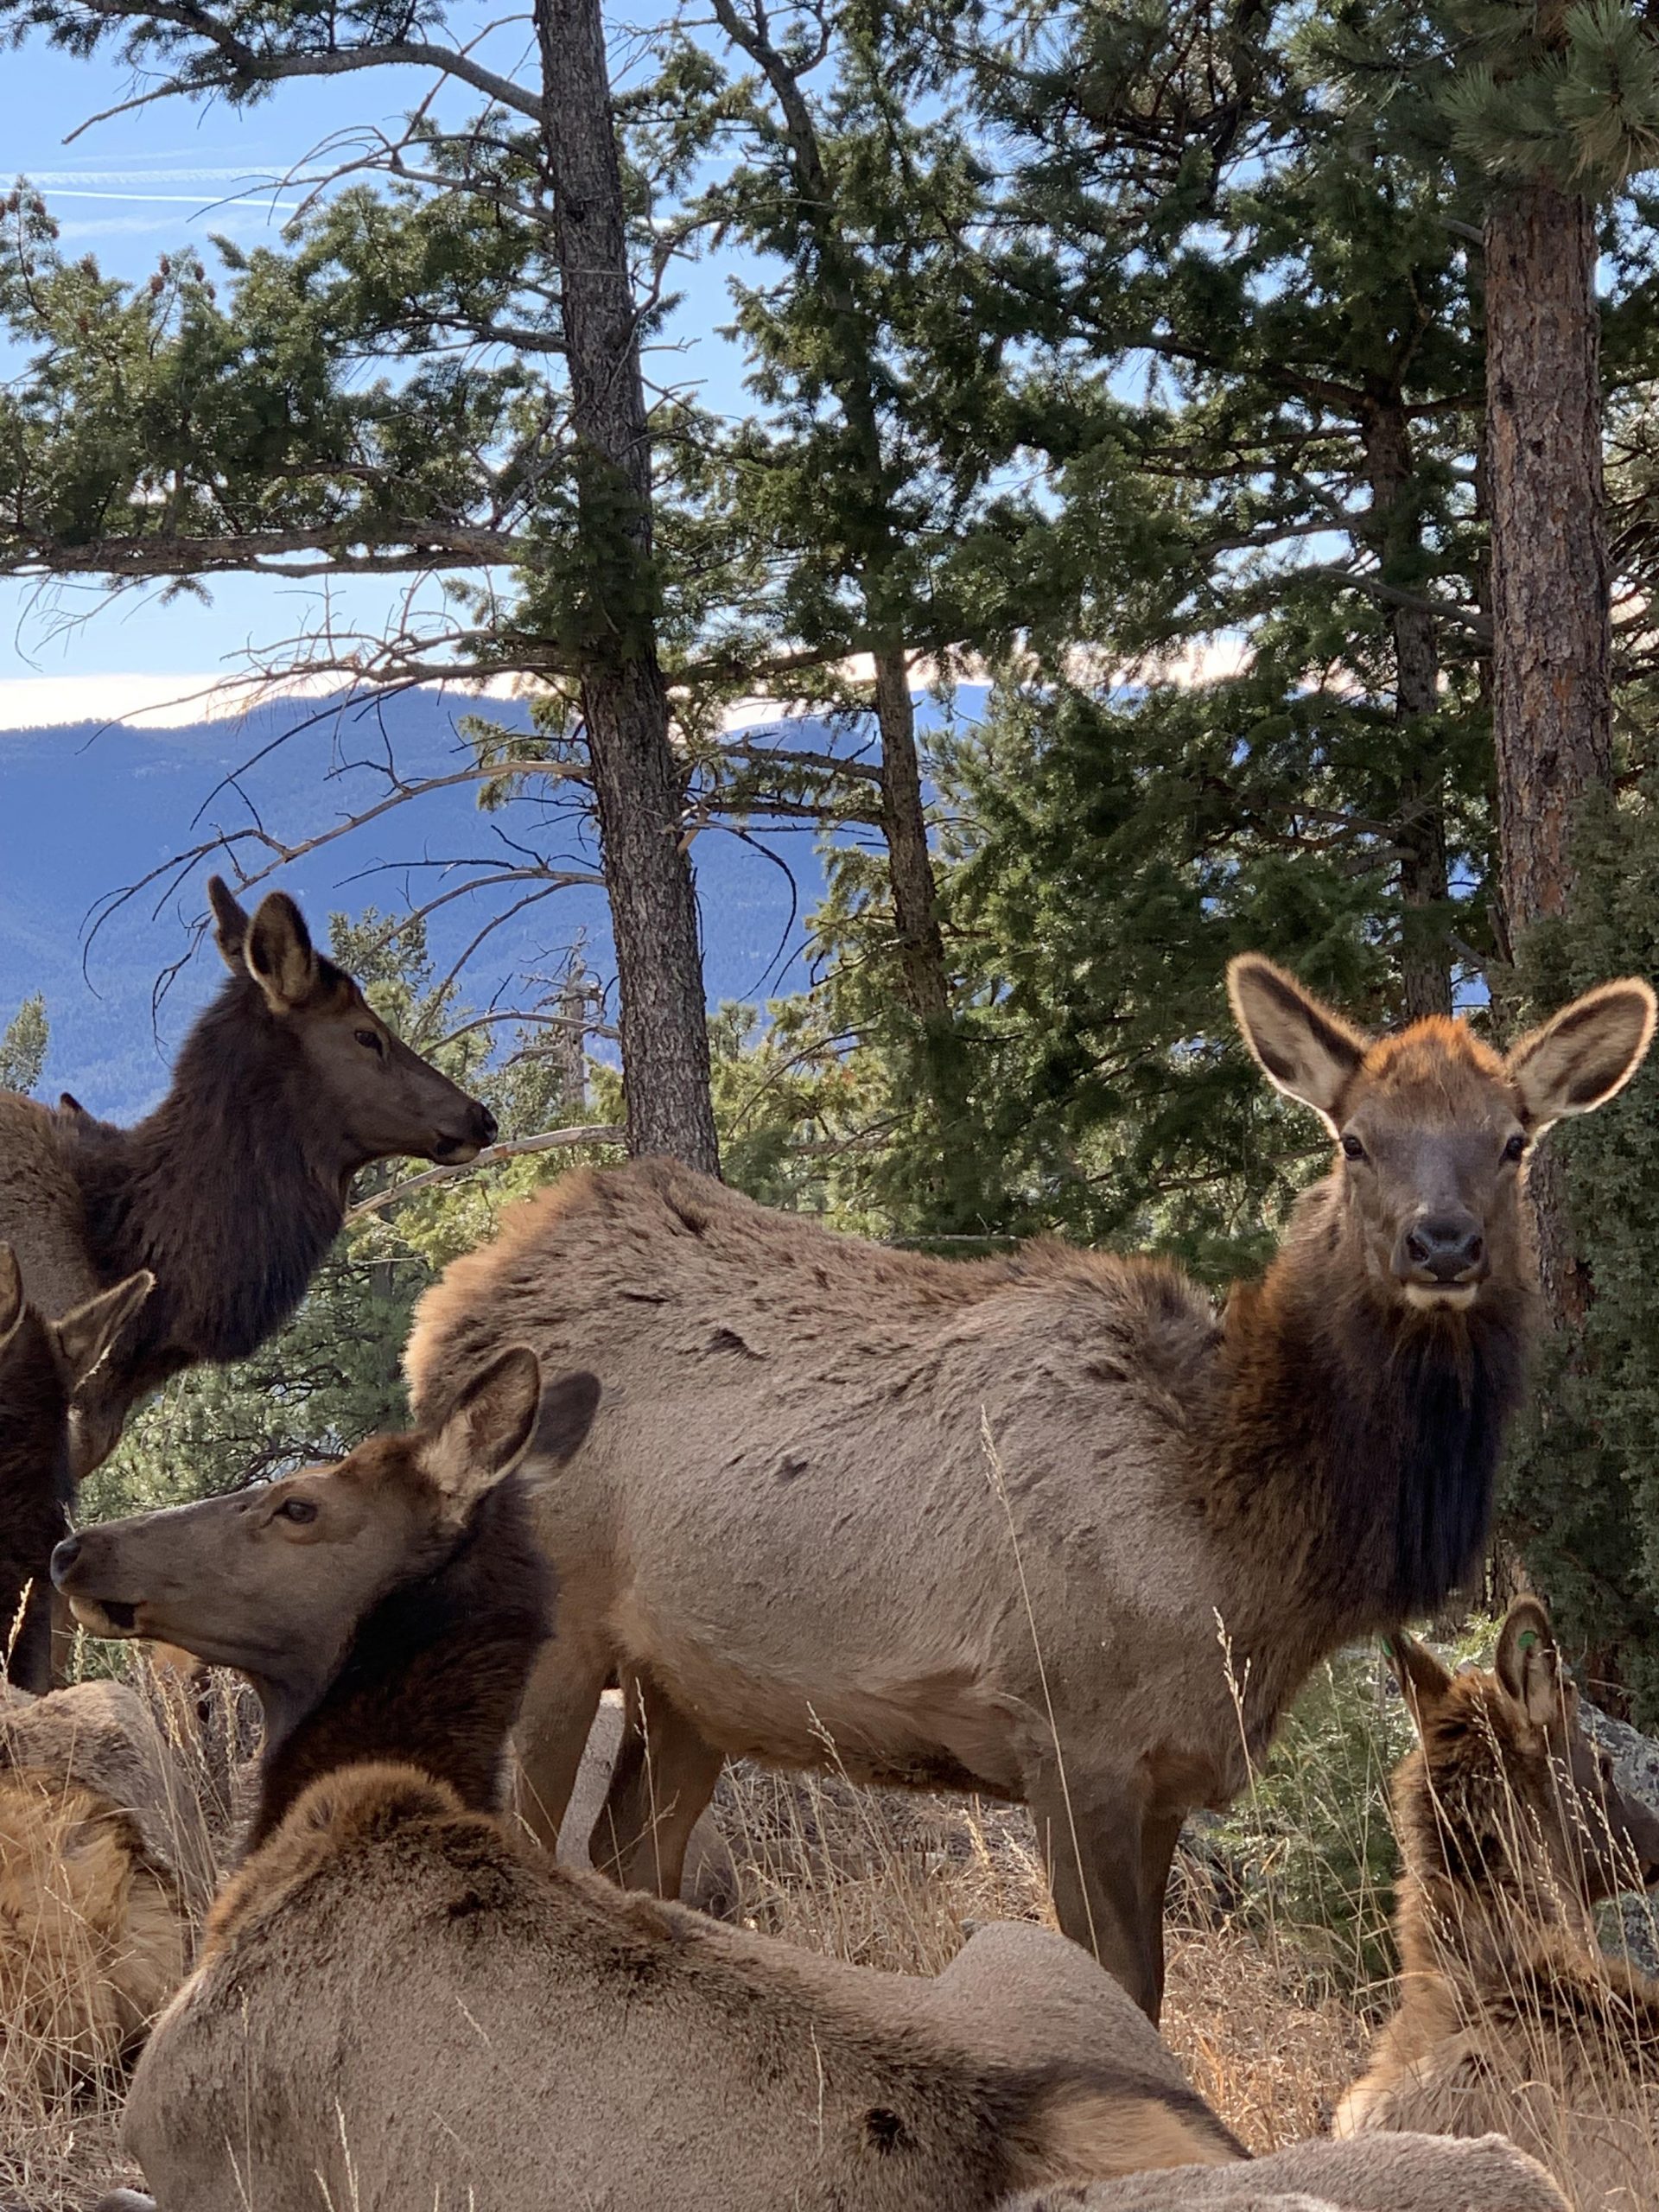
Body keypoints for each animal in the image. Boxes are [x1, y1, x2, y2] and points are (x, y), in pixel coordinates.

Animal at [401, 957, 1656, 2023]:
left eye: (1513, 1140)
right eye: (1354, 1139)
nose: (1440, 1244)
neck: (1242, 1542)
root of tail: (448, 1317)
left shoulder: (1167, 1769)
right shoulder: (1071, 1732)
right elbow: (1116, 1986)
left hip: (686, 1691)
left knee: (627, 1862)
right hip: (557, 1636)